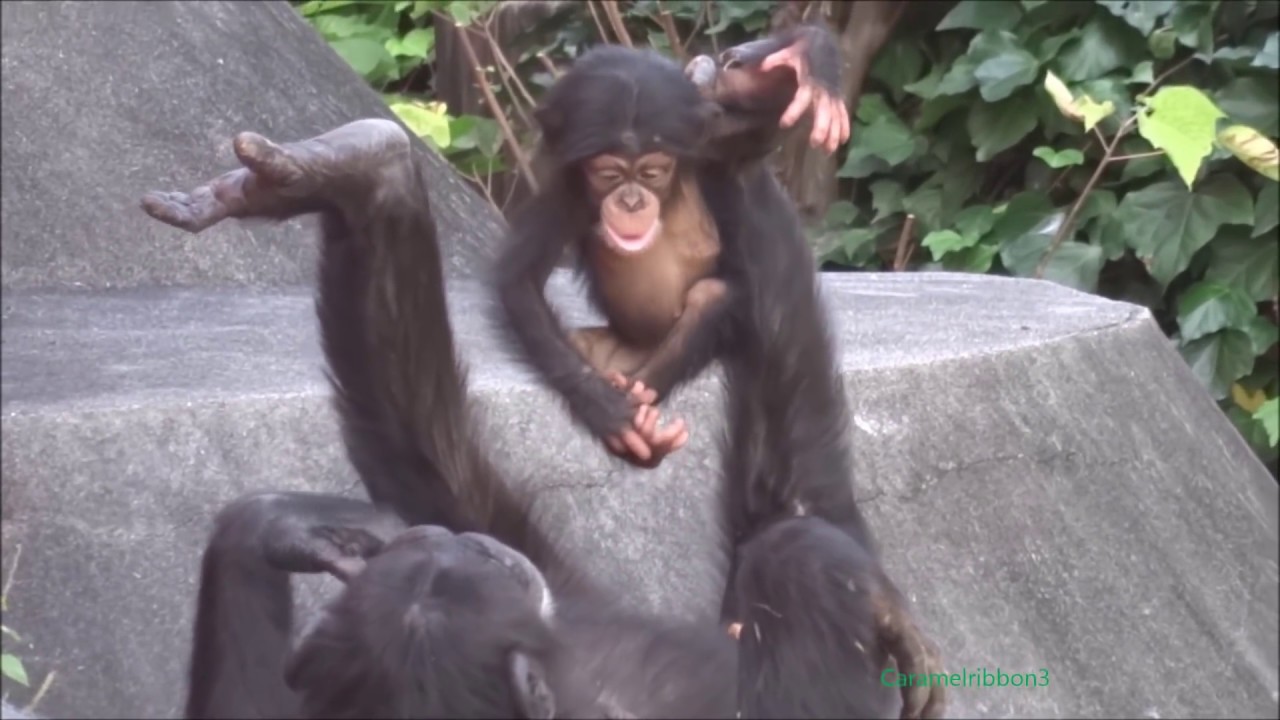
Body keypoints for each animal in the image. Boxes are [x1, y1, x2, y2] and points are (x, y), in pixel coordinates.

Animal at [493, 23, 850, 469]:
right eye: (609, 175)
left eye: (652, 172)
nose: (631, 201)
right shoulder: (568, 191)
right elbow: (520, 278)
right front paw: (602, 408)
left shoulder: (718, 145)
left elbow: (760, 107)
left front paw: (807, 61)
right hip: (614, 353)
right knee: (576, 345)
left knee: (710, 297)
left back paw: (645, 417)